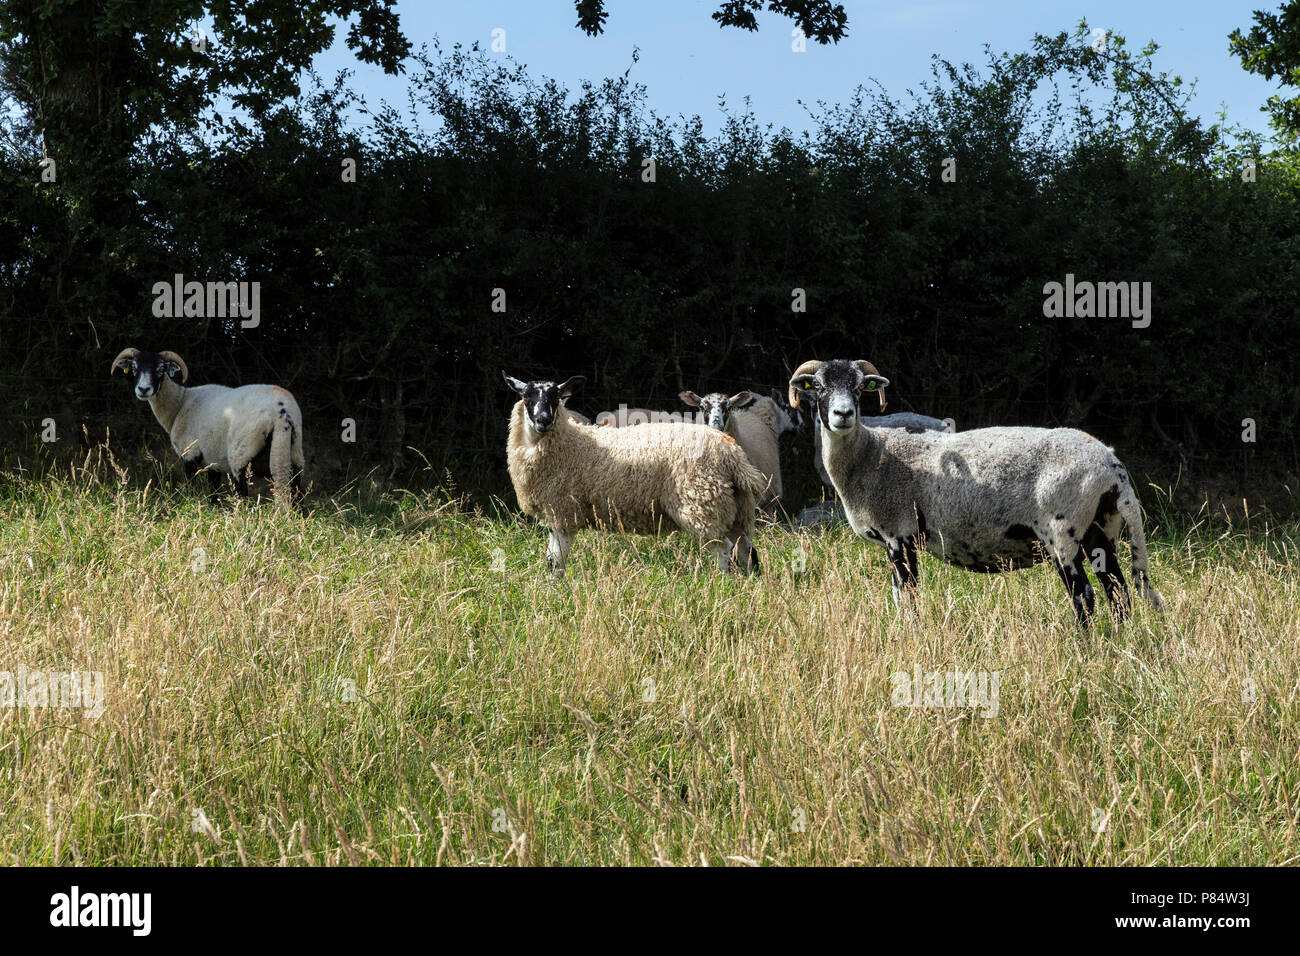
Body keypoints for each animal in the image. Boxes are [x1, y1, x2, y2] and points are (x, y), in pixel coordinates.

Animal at [111, 348, 305, 508]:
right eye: (134, 367)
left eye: (160, 369)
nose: (143, 389)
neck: (180, 403)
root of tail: (282, 412)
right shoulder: (213, 462)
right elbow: (214, 494)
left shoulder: (190, 454)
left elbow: (191, 486)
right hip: (294, 451)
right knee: (298, 492)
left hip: (242, 452)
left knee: (243, 493)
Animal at [503, 372, 765, 576]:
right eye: (526, 396)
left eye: (556, 397)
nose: (543, 420)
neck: (570, 442)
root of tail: (731, 453)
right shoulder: (558, 514)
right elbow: (552, 560)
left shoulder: (563, 512)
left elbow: (555, 562)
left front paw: (556, 592)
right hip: (733, 509)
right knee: (746, 552)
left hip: (704, 505)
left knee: (725, 553)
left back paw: (722, 588)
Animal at [788, 359, 1164, 624]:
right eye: (818, 387)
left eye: (858, 388)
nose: (843, 415)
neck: (873, 455)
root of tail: (1111, 464)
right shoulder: (894, 541)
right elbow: (898, 598)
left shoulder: (900, 535)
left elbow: (910, 600)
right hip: (1101, 529)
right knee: (1119, 593)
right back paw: (1118, 644)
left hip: (1064, 531)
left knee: (1084, 596)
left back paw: (1084, 649)